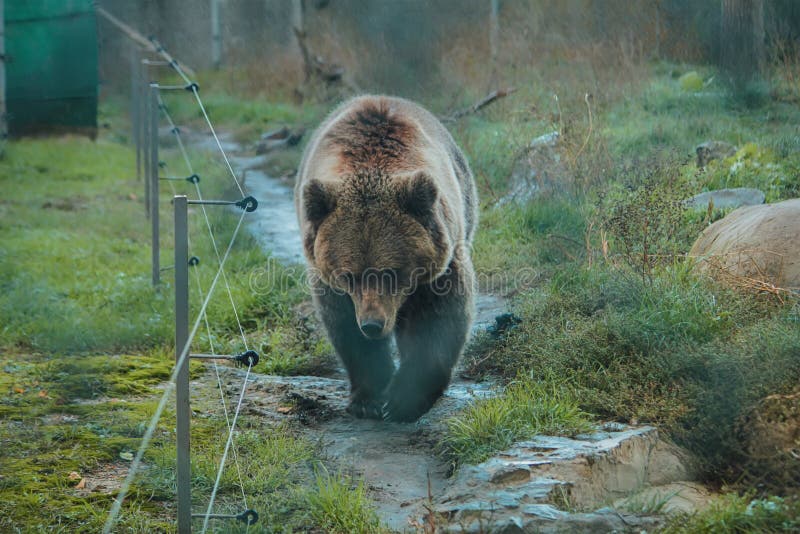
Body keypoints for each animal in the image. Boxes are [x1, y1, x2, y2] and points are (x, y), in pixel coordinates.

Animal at [295, 95, 477, 422]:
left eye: (392, 272)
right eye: (348, 275)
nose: (372, 324)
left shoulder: (439, 266)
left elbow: (438, 319)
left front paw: (404, 399)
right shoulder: (329, 279)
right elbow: (344, 325)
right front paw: (369, 398)